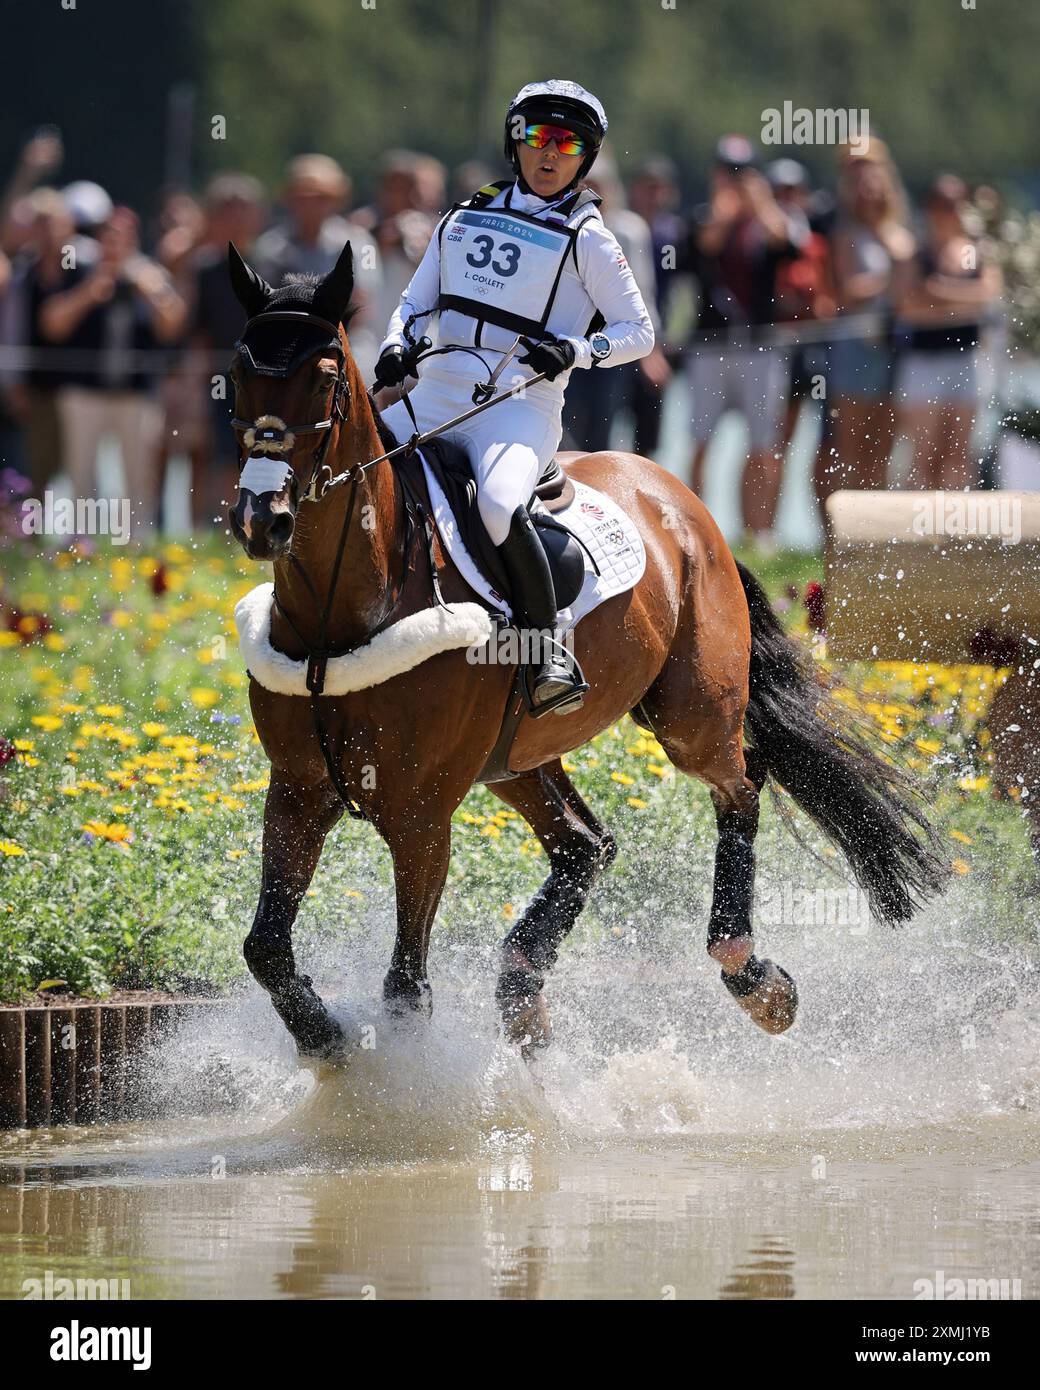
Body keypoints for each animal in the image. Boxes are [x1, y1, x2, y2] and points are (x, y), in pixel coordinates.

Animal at [224, 239, 948, 1059]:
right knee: (587, 846)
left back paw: (752, 976)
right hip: (515, 759)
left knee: (740, 786)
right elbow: (266, 948)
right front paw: (323, 1040)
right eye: (238, 376)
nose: (263, 519)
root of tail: (681, 497)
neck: (340, 614)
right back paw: (522, 992)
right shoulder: (298, 789)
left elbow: (406, 988)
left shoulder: (421, 814)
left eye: (323, 379)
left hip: (690, 717)